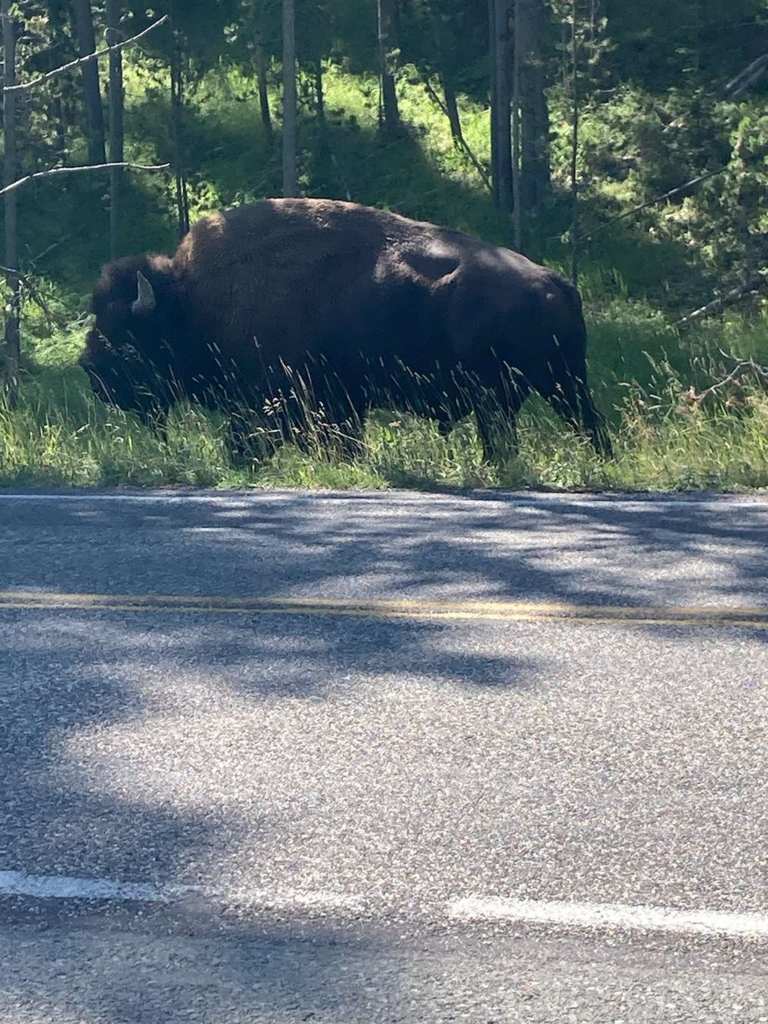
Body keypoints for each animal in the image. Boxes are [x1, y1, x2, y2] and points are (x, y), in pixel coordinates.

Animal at [81, 198, 611, 461]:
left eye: (127, 336)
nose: (91, 371)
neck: (192, 301)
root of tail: (555, 281)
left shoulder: (275, 404)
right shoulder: (336, 406)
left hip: (530, 390)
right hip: (552, 386)